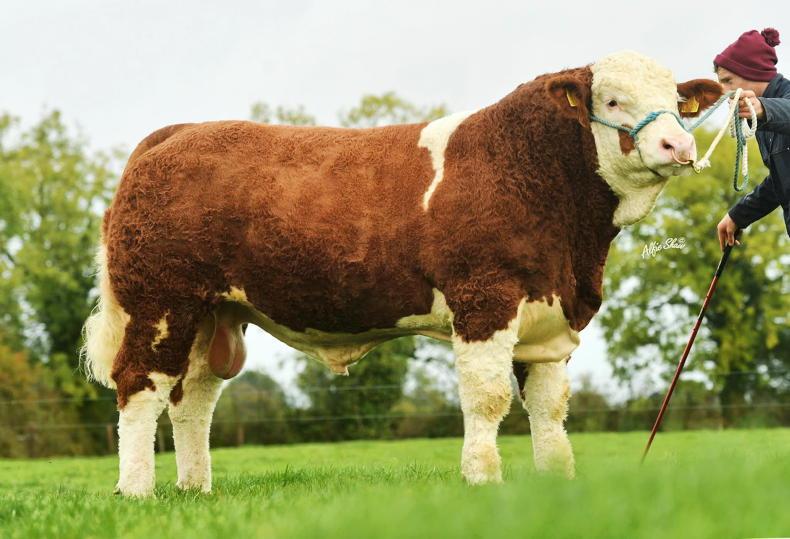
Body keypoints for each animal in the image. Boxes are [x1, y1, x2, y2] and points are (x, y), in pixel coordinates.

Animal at [81, 50, 723, 497]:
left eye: (676, 99)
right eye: (611, 100)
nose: (678, 145)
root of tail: (175, 134)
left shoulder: (552, 316)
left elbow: (548, 407)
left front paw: (556, 480)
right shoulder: (485, 298)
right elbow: (488, 398)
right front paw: (482, 478)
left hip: (214, 313)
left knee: (192, 399)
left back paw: (195, 489)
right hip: (160, 303)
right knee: (140, 386)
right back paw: (136, 491)